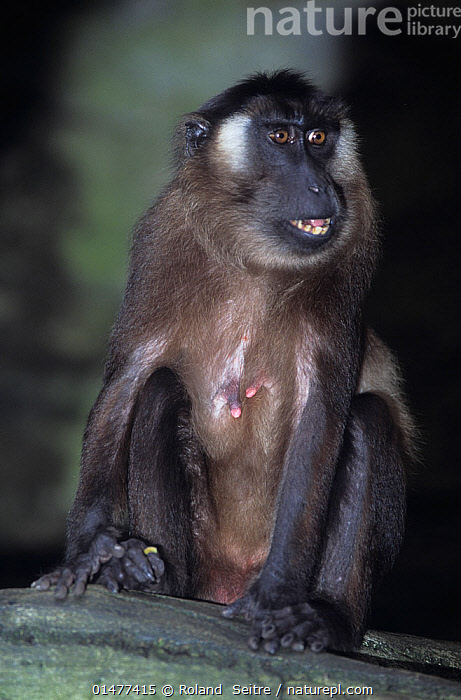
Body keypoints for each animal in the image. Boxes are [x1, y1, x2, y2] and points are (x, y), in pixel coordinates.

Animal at [32, 69, 415, 655]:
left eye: (319, 139)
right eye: (280, 137)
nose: (320, 186)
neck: (257, 256)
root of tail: (224, 582)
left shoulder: (352, 252)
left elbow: (323, 411)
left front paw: (278, 596)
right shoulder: (164, 238)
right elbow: (130, 378)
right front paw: (91, 551)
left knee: (367, 419)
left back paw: (328, 618)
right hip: (205, 553)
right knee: (160, 390)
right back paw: (159, 578)